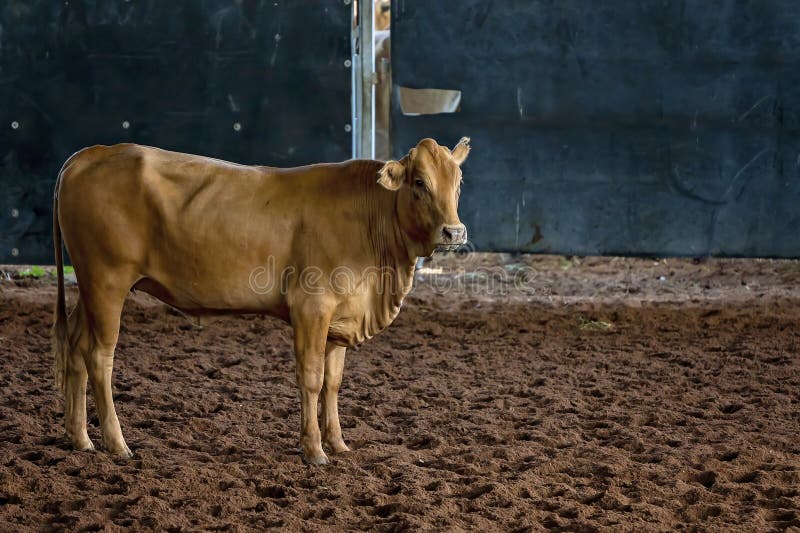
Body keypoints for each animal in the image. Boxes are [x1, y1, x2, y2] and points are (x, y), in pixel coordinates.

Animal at [52, 137, 471, 465]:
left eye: (459, 182)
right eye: (419, 182)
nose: (455, 232)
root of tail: (91, 153)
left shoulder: (341, 316)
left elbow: (334, 382)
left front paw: (338, 442)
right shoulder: (311, 308)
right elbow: (312, 378)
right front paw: (314, 449)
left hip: (89, 288)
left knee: (75, 346)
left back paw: (80, 438)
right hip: (107, 282)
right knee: (99, 356)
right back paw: (116, 443)